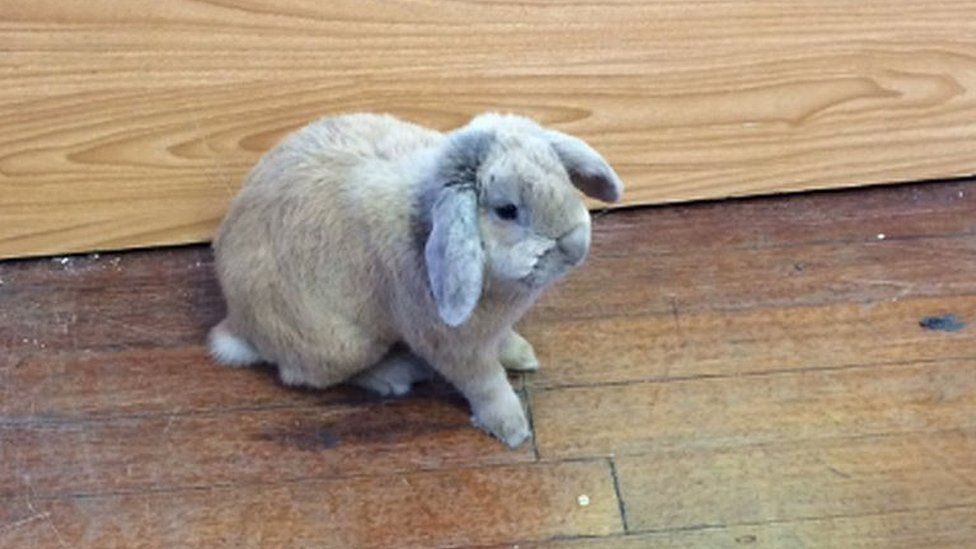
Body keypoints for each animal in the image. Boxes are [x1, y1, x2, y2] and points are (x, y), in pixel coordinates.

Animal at [208, 112, 623, 448]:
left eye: (564, 179)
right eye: (507, 210)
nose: (576, 246)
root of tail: (238, 325)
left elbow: (503, 342)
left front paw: (522, 355)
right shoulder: (455, 347)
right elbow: (487, 385)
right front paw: (512, 429)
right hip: (344, 344)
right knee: (306, 375)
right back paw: (397, 373)